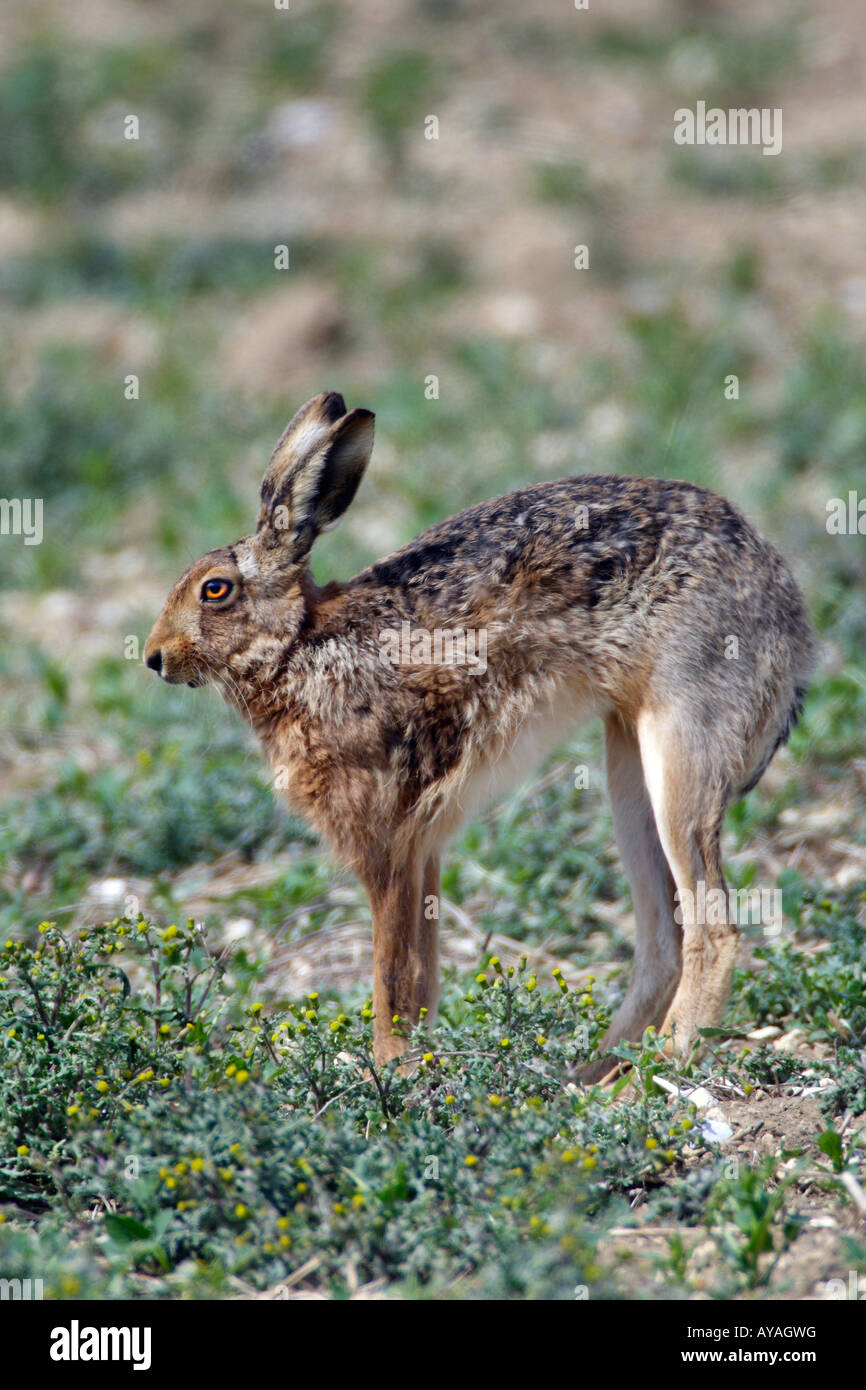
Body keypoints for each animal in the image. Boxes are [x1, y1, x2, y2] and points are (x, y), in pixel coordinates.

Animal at [143, 390, 817, 1079]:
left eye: (214, 590)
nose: (154, 658)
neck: (298, 645)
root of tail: (790, 624)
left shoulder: (383, 841)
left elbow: (393, 976)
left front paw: (391, 1072)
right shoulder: (421, 849)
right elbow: (422, 973)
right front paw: (415, 1067)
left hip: (682, 741)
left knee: (715, 931)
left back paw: (648, 1077)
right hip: (629, 769)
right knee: (664, 939)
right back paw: (589, 1081)